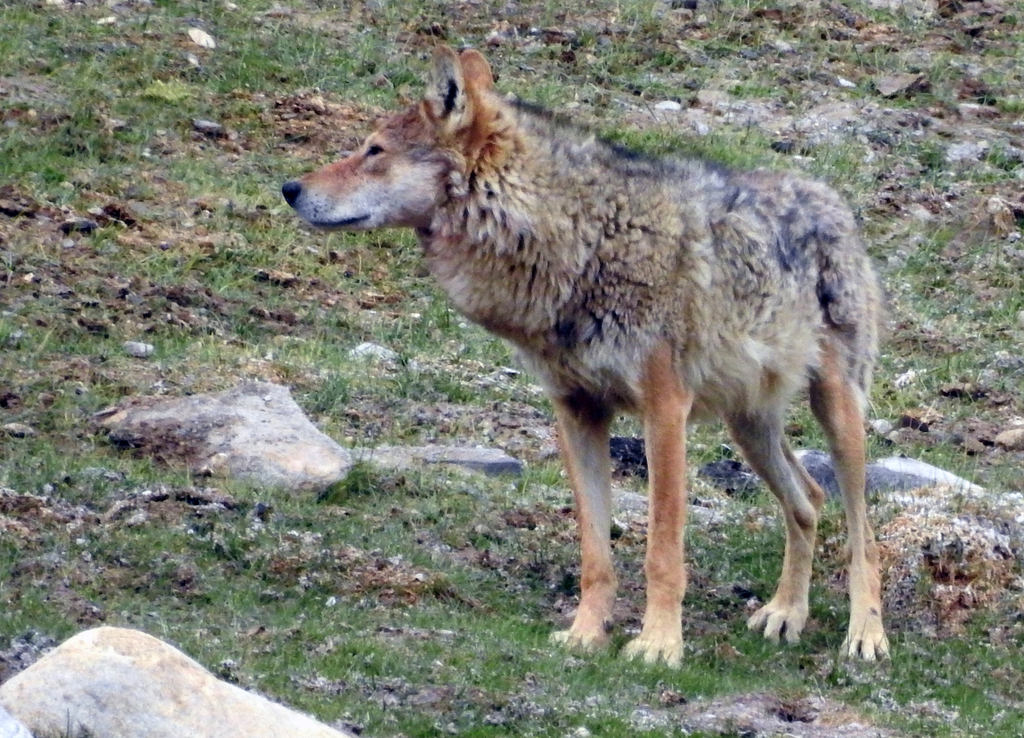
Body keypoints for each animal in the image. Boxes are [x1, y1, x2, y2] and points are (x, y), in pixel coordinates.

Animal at [282, 45, 889, 665]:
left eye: (374, 151)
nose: (289, 188)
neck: (581, 239)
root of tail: (833, 199)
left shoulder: (664, 410)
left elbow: (662, 549)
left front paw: (658, 645)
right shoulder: (577, 413)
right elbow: (595, 553)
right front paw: (585, 635)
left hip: (836, 413)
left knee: (862, 536)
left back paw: (866, 636)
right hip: (748, 426)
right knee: (809, 499)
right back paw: (787, 613)